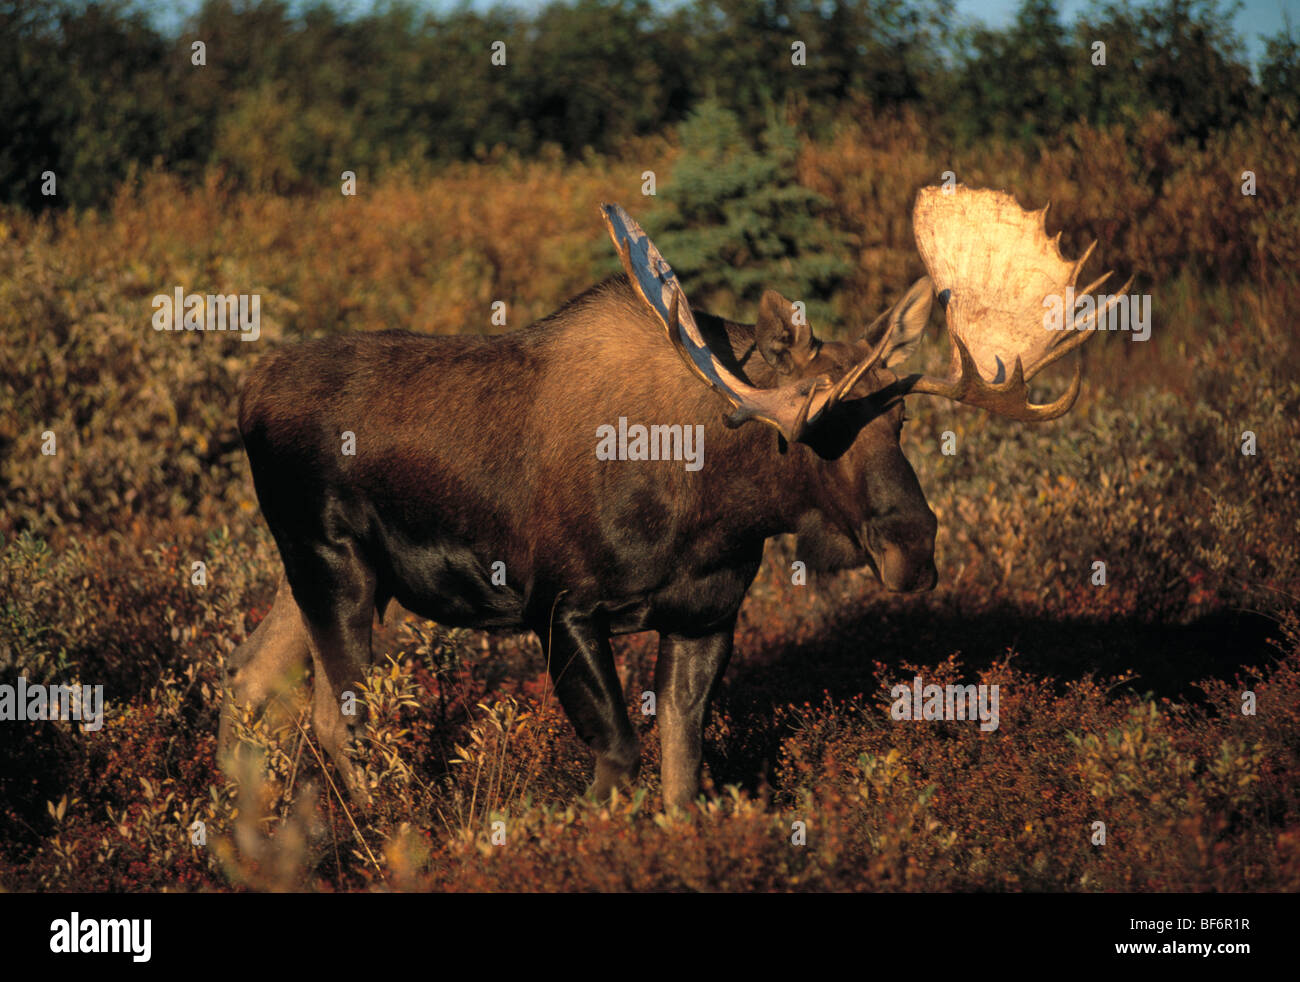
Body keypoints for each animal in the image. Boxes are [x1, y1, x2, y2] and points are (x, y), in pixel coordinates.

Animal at [219, 186, 1128, 811]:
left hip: (324, 578)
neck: (713, 510)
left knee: (251, 682)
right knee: (337, 722)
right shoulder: (563, 606)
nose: (913, 546)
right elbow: (618, 759)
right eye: (817, 429)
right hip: (332, 564)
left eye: (900, 418)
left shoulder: (704, 617)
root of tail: (248, 390)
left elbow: (681, 778)